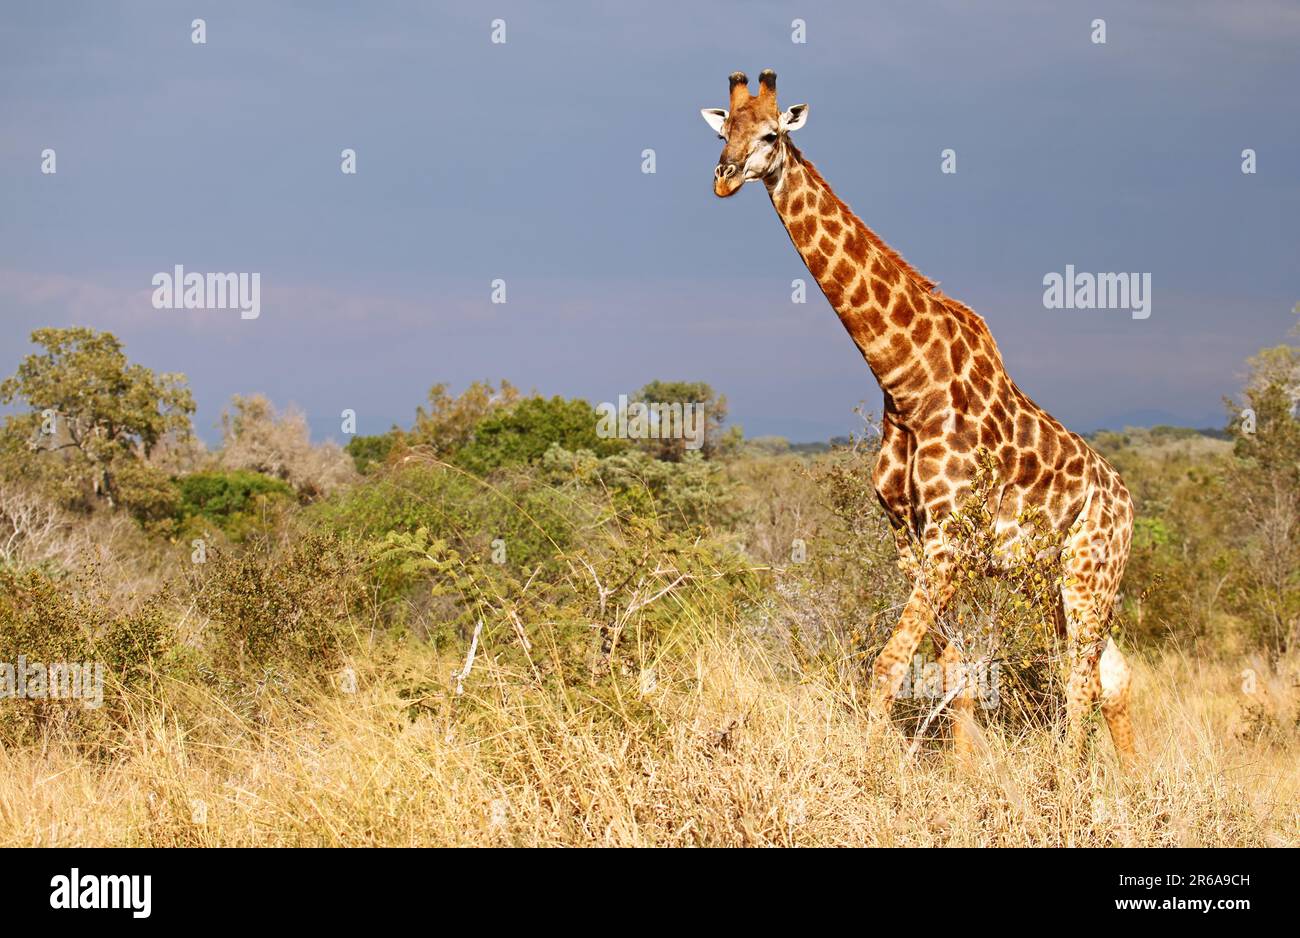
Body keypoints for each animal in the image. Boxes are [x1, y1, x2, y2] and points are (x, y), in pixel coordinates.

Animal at [701, 70, 1136, 762]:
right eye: (723, 132)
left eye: (770, 134)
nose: (723, 176)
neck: (906, 383)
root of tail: (1127, 502)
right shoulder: (911, 536)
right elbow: (951, 666)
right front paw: (964, 768)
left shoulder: (950, 537)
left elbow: (889, 663)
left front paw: (870, 768)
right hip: (1050, 577)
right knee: (1111, 674)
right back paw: (1126, 782)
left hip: (1090, 570)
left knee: (1082, 677)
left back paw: (1071, 781)